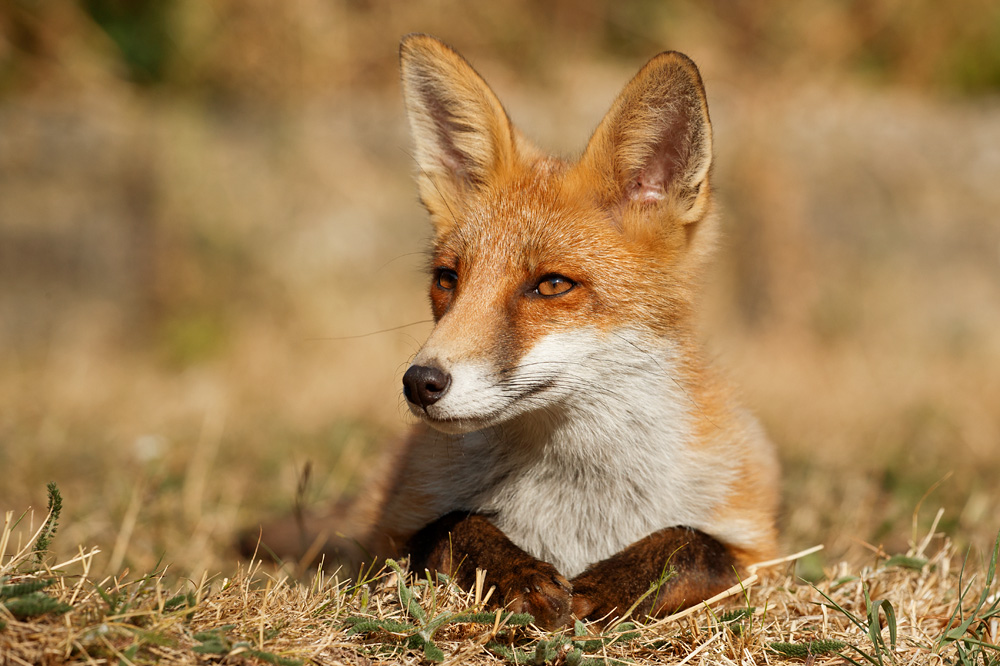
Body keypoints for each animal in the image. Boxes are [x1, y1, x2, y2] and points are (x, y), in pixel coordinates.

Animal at [244, 34, 779, 629]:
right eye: (447, 279)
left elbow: (689, 543)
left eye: (551, 285)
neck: (576, 499)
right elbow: (454, 527)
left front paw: (606, 586)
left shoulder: (759, 553)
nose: (419, 382)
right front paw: (521, 574)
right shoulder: (389, 538)